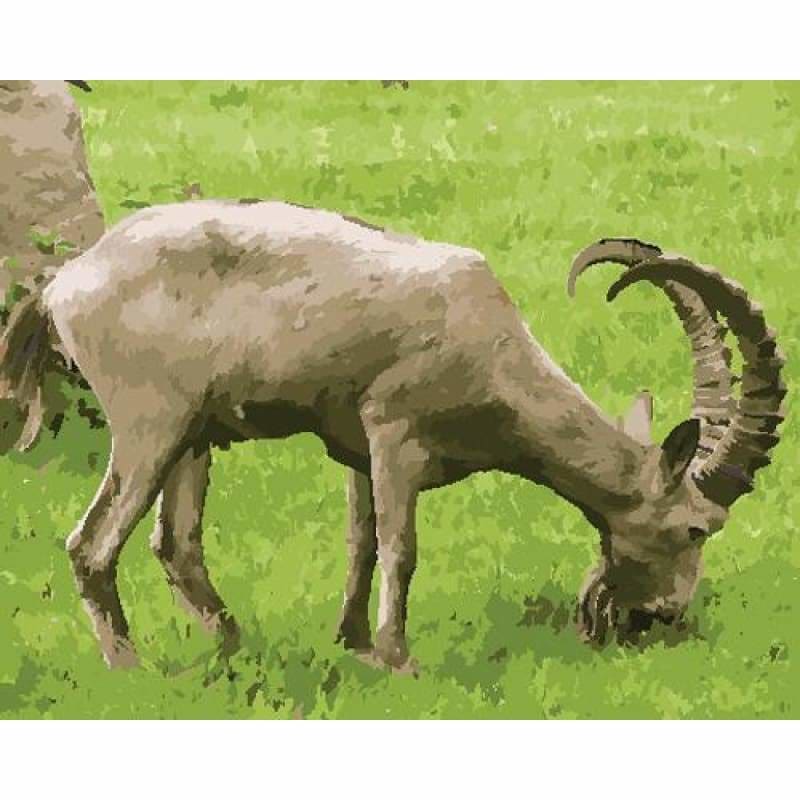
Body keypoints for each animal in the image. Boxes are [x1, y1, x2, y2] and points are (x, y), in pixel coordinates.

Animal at [0, 200, 786, 670]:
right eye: (696, 528)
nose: (659, 619)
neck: (487, 340)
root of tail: (63, 284)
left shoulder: (353, 446)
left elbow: (362, 540)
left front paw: (349, 643)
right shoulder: (394, 432)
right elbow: (402, 548)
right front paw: (397, 656)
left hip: (195, 431)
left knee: (176, 543)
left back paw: (233, 646)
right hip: (151, 422)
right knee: (93, 545)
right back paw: (132, 667)